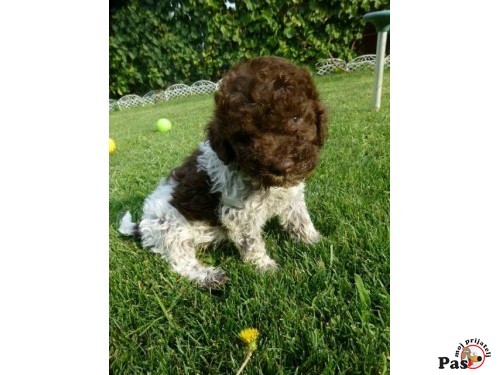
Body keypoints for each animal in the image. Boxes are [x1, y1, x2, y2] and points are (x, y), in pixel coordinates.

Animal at [117, 55, 328, 288]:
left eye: (296, 118)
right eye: (245, 137)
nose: (282, 166)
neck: (264, 181)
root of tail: (141, 225)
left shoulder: (292, 196)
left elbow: (300, 219)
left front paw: (313, 241)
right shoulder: (239, 214)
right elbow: (251, 242)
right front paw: (265, 268)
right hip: (171, 229)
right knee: (180, 261)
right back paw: (209, 277)